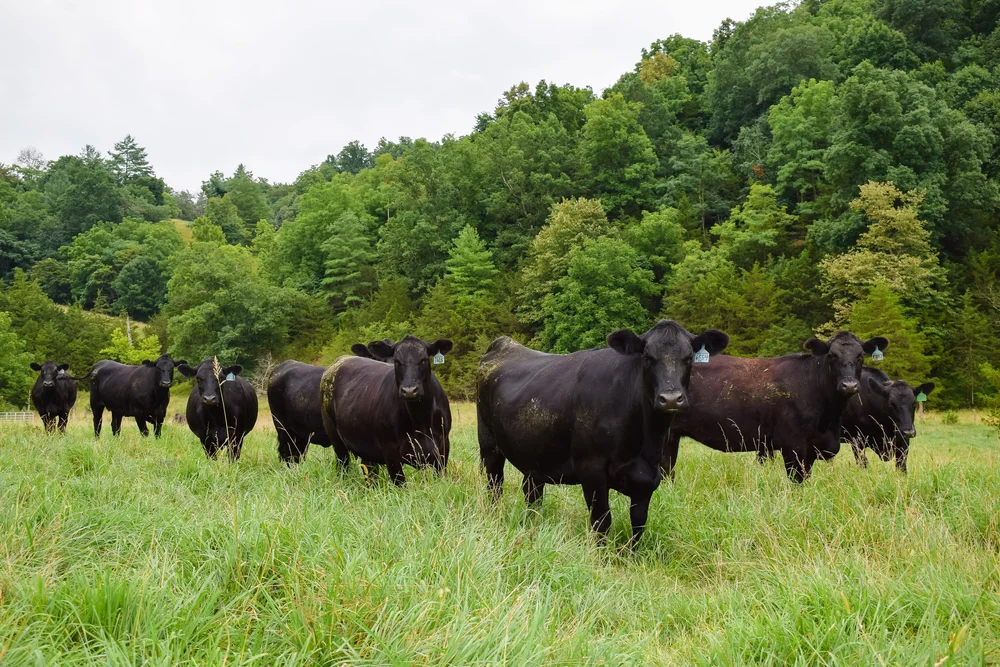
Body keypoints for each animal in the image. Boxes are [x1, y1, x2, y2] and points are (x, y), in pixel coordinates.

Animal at [320, 335, 452, 485]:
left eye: (423, 359)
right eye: (397, 361)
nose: (409, 390)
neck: (420, 419)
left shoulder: (442, 448)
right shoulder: (390, 452)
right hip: (335, 437)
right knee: (343, 465)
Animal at [477, 320, 729, 546]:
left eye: (688, 358)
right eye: (648, 358)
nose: (670, 399)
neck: (644, 442)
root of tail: (504, 343)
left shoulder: (648, 478)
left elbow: (639, 524)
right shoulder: (591, 470)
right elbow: (602, 521)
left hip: (534, 456)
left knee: (532, 493)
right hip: (489, 444)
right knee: (495, 485)